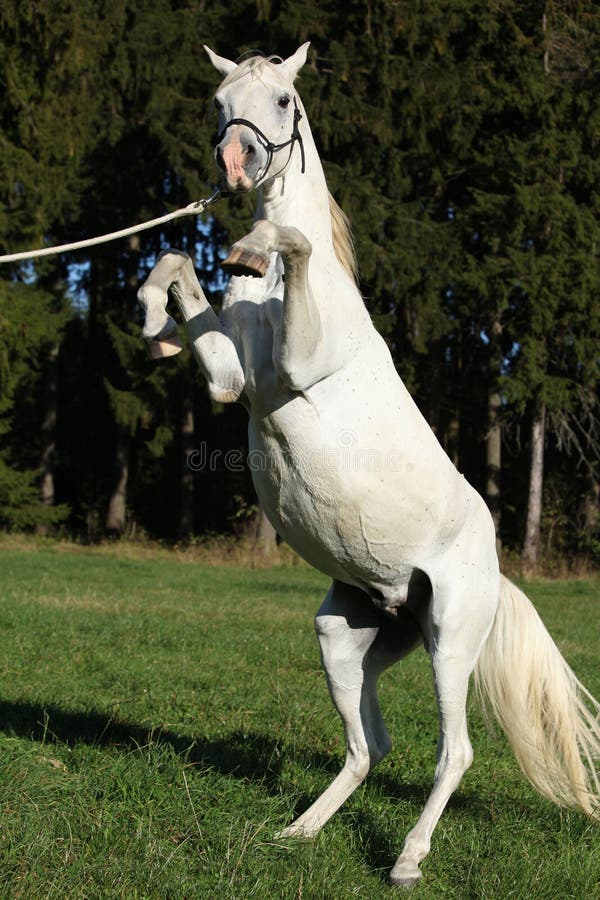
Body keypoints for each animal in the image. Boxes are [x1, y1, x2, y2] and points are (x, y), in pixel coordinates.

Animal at [137, 44, 600, 886]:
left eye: (284, 101)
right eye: (219, 100)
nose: (235, 163)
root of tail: (495, 569)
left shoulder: (294, 369)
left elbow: (293, 240)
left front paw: (256, 245)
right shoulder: (234, 384)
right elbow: (178, 258)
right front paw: (153, 318)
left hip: (451, 639)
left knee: (455, 752)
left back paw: (407, 861)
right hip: (346, 637)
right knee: (368, 746)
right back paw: (298, 833)